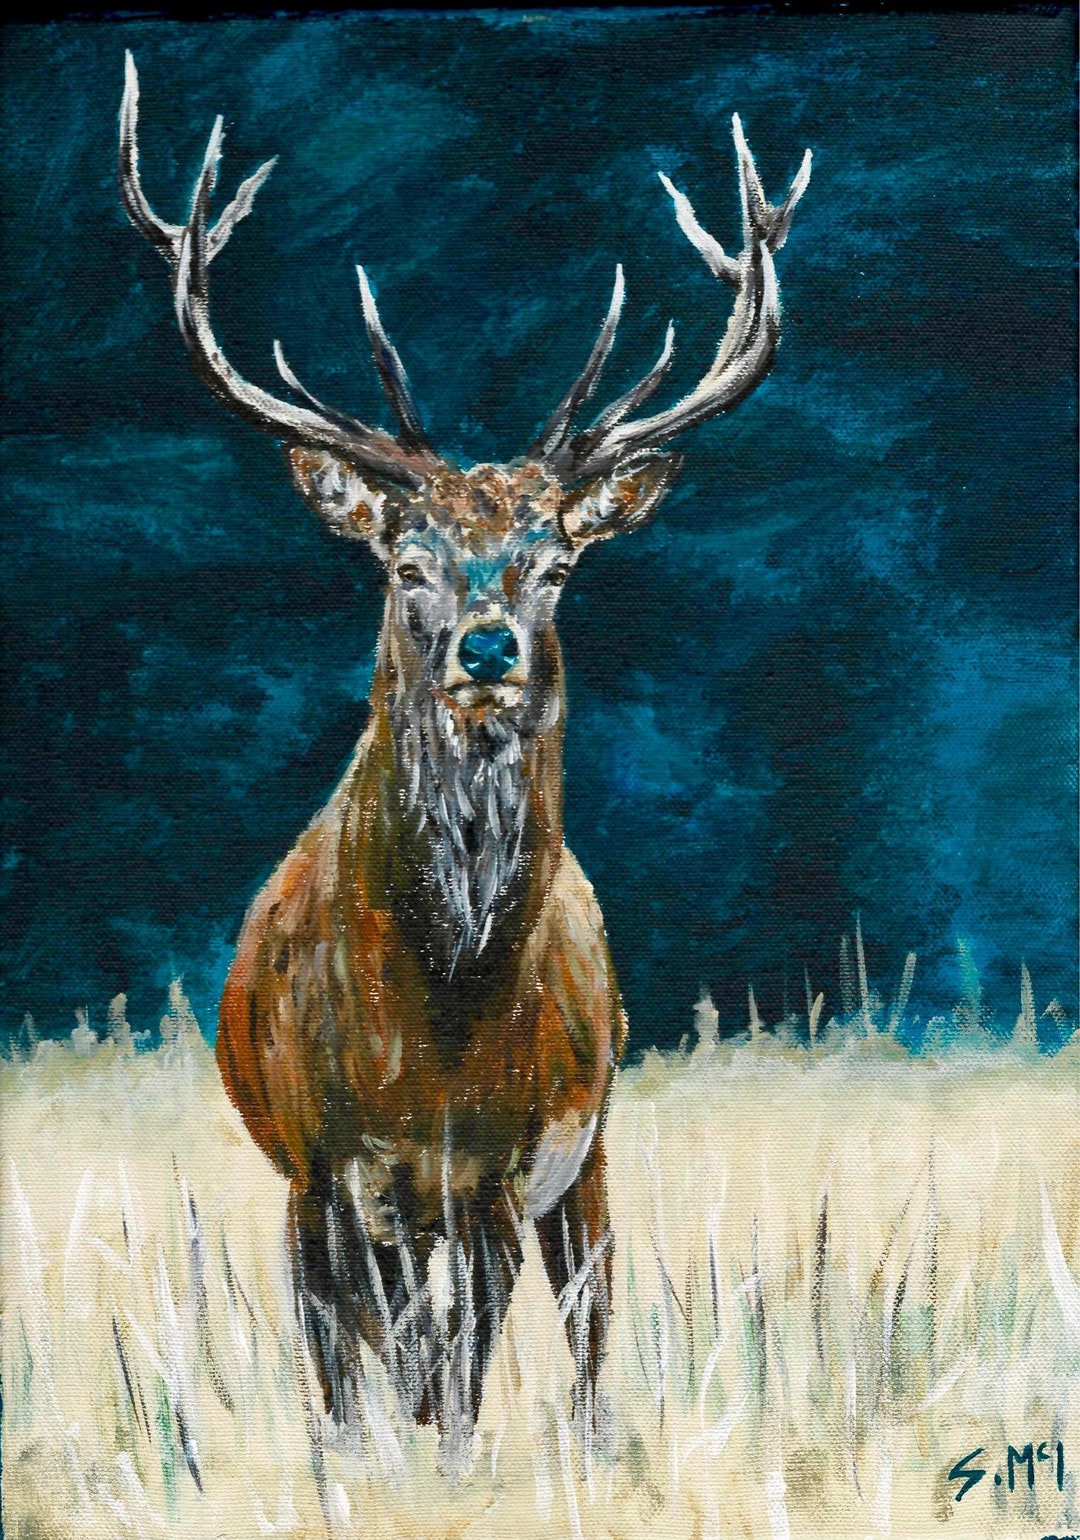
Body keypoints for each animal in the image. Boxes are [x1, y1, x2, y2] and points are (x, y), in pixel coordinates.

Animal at [119, 51, 810, 1470]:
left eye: (557, 561)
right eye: (406, 560)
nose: (486, 647)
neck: (431, 1032)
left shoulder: (504, 1162)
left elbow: (464, 1375)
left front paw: (455, 1471)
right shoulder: (321, 1164)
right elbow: (352, 1379)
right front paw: (357, 1472)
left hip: (590, 1155)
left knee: (581, 1330)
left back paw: (596, 1449)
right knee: (395, 1341)